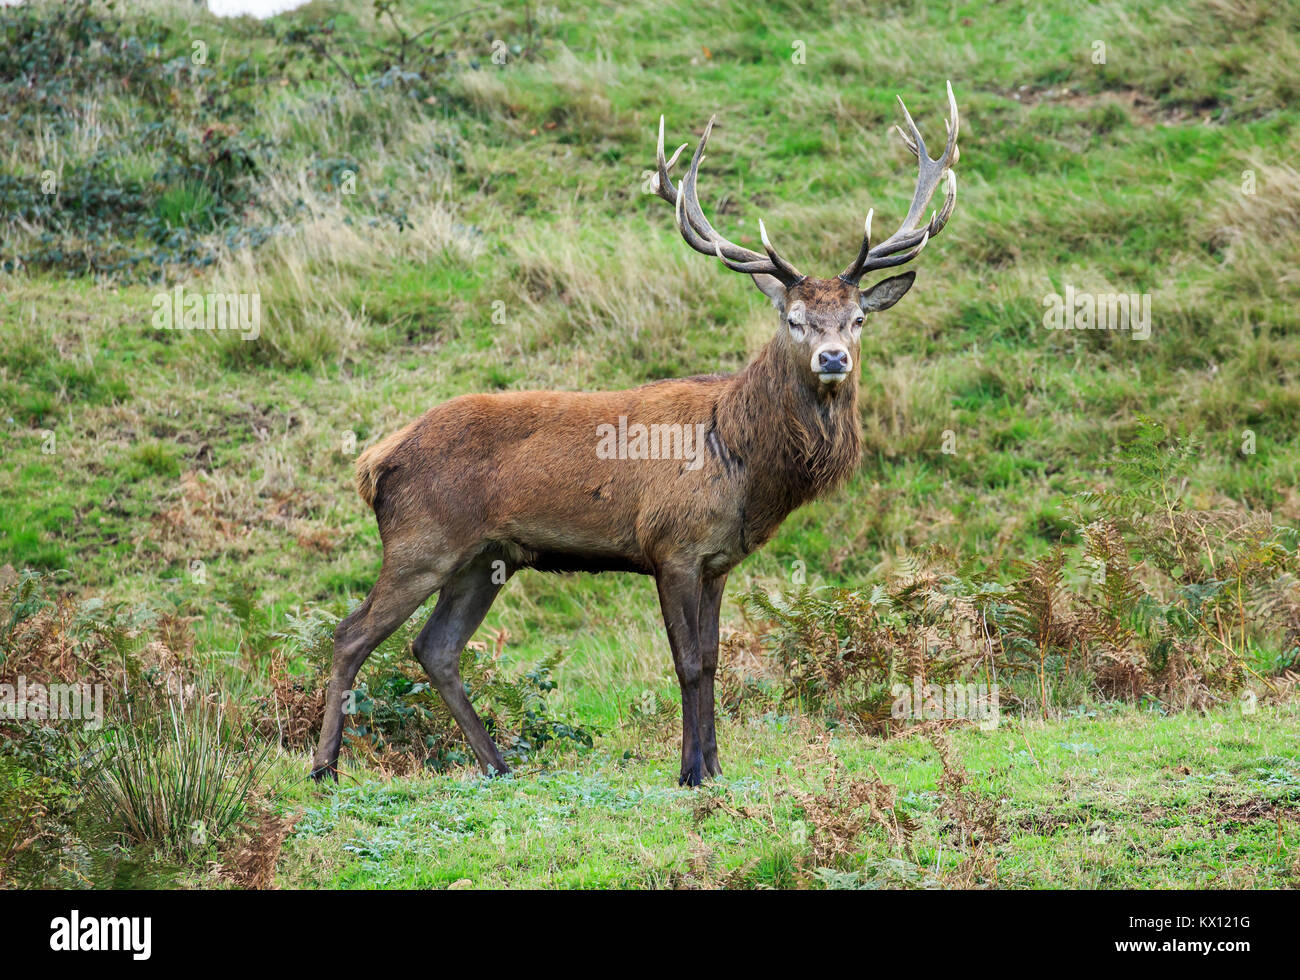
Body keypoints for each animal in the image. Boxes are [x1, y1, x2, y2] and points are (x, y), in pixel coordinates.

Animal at [311, 84, 960, 787]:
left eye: (858, 317)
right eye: (793, 318)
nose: (833, 358)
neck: (743, 465)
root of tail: (375, 461)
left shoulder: (718, 560)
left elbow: (714, 659)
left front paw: (715, 765)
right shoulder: (669, 545)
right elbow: (688, 662)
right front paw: (690, 771)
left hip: (485, 558)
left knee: (435, 647)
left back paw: (498, 764)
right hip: (421, 541)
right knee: (350, 634)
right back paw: (324, 769)